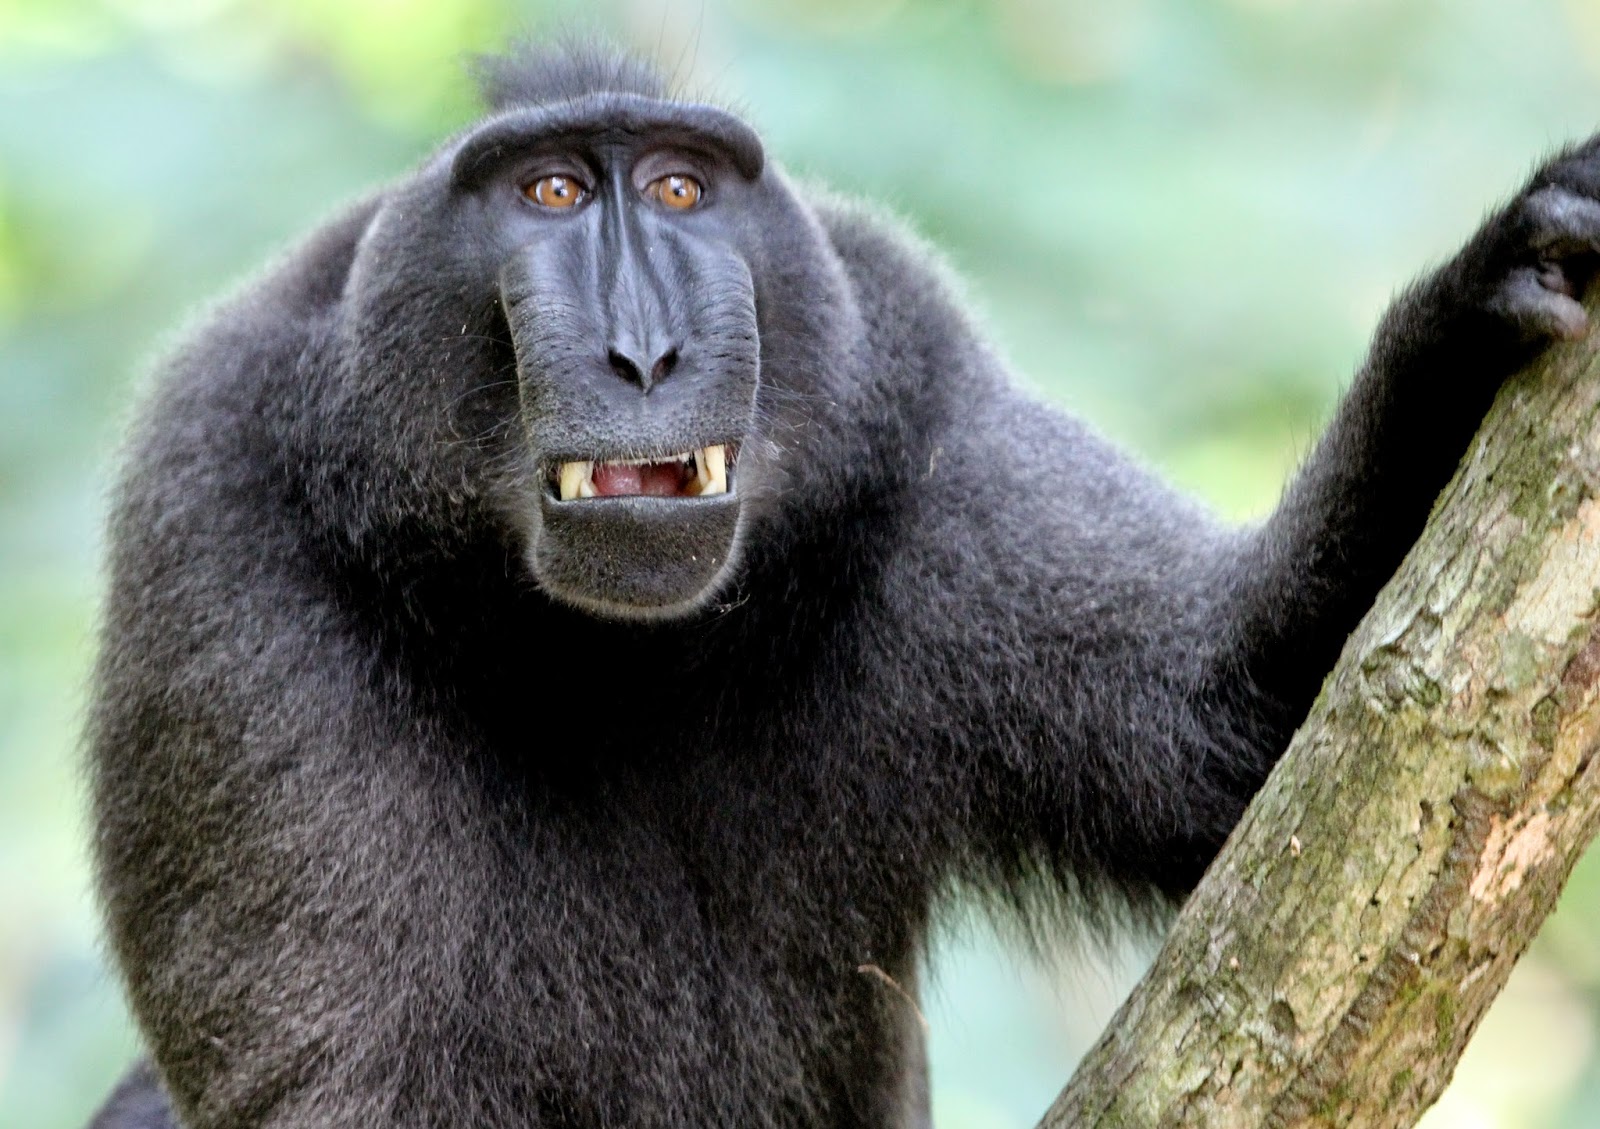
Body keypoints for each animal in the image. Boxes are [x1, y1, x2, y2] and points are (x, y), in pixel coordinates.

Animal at [83, 40, 1600, 1129]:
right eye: (553, 193)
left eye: (682, 190)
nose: (645, 353)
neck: (606, 660)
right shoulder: (223, 523)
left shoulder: (918, 408)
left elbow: (1258, 751)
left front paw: (1476, 312)